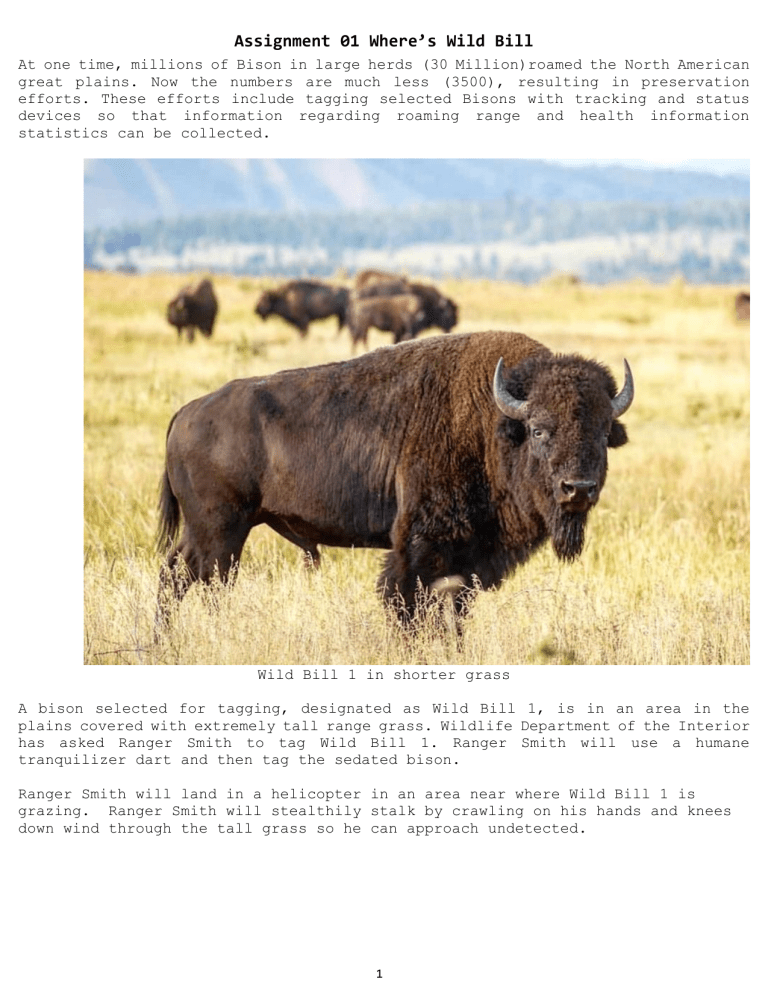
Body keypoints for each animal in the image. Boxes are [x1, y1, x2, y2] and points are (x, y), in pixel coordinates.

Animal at [156, 331, 633, 633]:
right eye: (538, 430)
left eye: (602, 432)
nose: (578, 489)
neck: (494, 425)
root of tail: (186, 412)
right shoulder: (420, 547)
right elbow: (407, 602)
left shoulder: (468, 560)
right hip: (221, 533)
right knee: (198, 580)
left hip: (210, 533)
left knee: (176, 575)